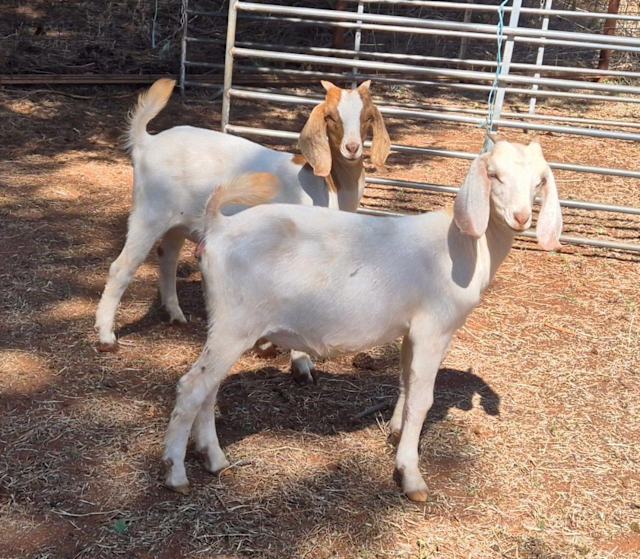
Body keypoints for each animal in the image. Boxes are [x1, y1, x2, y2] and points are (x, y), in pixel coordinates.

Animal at [94, 78, 391, 384]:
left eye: (367, 117)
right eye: (331, 117)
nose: (352, 148)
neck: (328, 186)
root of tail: (147, 142)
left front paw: (268, 345)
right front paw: (301, 363)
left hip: (177, 220)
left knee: (168, 256)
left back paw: (175, 314)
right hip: (148, 213)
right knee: (122, 267)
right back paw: (107, 337)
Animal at [162, 139, 563, 502]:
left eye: (540, 181)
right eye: (494, 174)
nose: (521, 218)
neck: (463, 248)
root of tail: (219, 227)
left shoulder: (411, 331)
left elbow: (405, 384)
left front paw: (396, 433)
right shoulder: (434, 328)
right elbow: (423, 399)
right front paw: (411, 477)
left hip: (227, 323)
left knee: (209, 388)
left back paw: (214, 458)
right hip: (236, 323)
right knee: (192, 387)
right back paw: (176, 472)